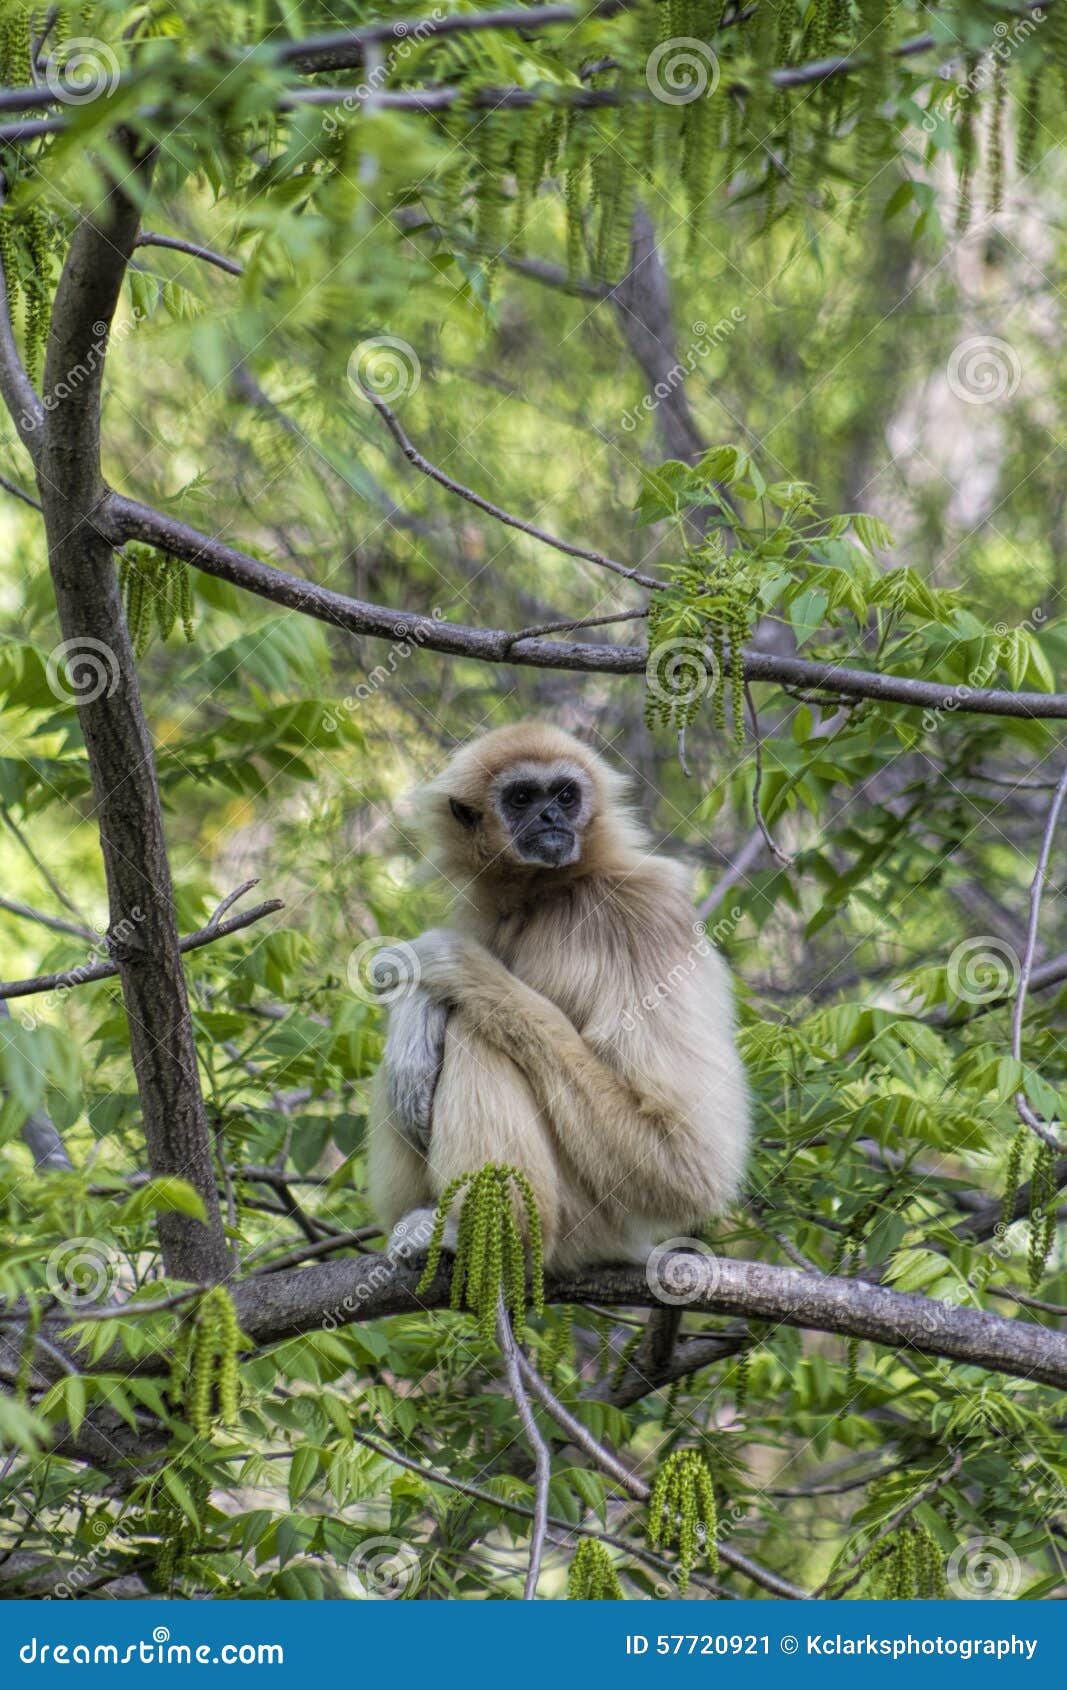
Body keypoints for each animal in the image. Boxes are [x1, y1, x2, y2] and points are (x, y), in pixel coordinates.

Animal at [366, 722, 749, 1272]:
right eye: (523, 797)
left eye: (565, 796)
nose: (550, 816)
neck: (548, 893)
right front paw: (413, 1012)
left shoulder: (649, 914)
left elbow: (688, 1164)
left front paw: (439, 962)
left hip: (587, 1222)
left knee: (474, 1029)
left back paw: (487, 1238)